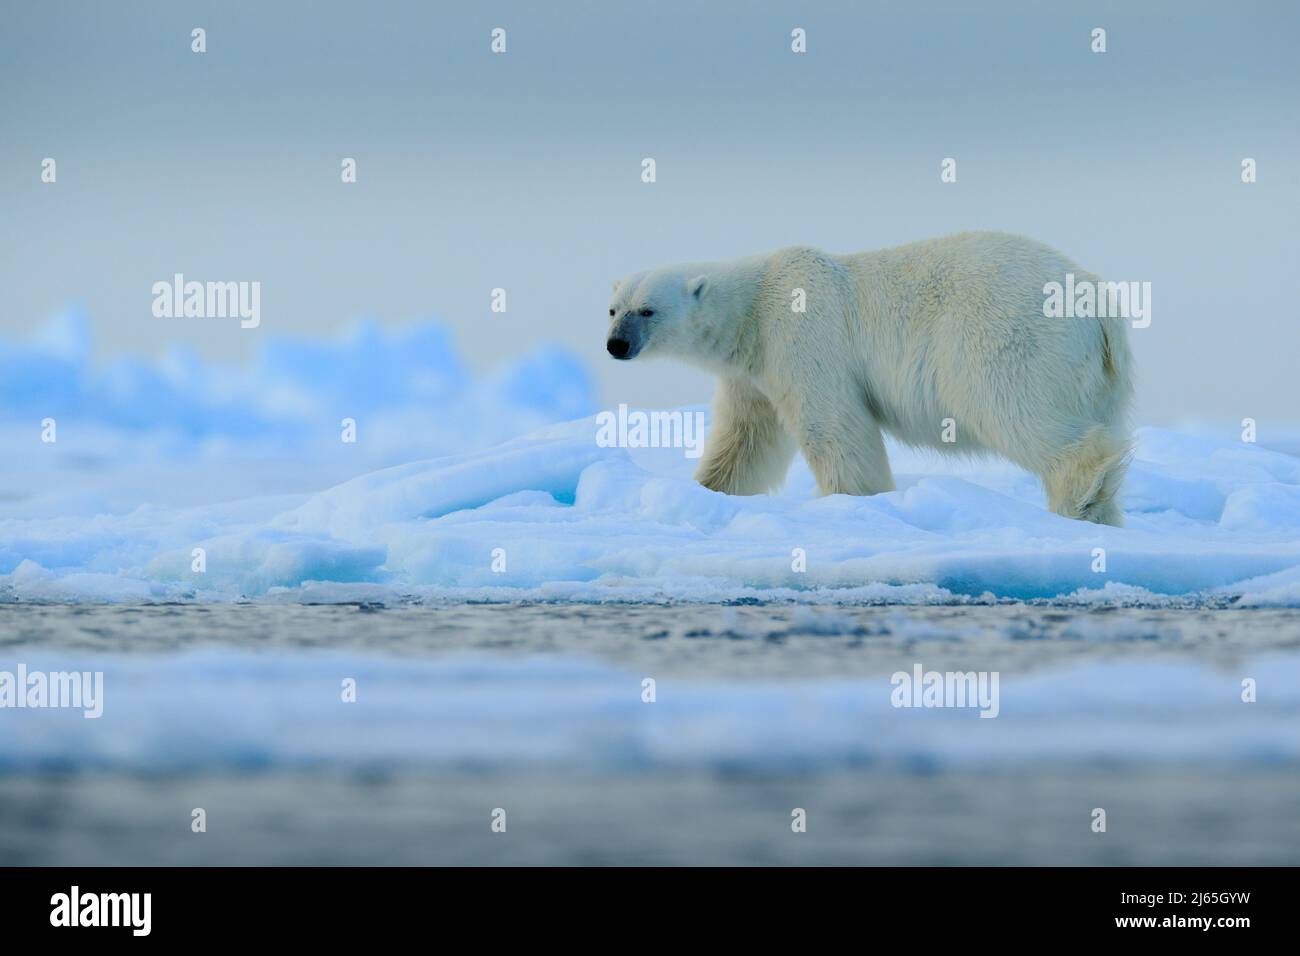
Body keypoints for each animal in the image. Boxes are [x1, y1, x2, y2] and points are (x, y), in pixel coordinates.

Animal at [606, 231, 1134, 526]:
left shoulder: (802, 334)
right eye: (613, 309)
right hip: (1099, 375)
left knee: (1014, 406)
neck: (754, 305)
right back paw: (1102, 512)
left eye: (647, 310)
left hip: (1006, 334)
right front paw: (707, 491)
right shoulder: (751, 373)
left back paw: (1077, 498)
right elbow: (746, 440)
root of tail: (1095, 296)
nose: (616, 345)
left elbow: (833, 426)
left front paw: (856, 501)